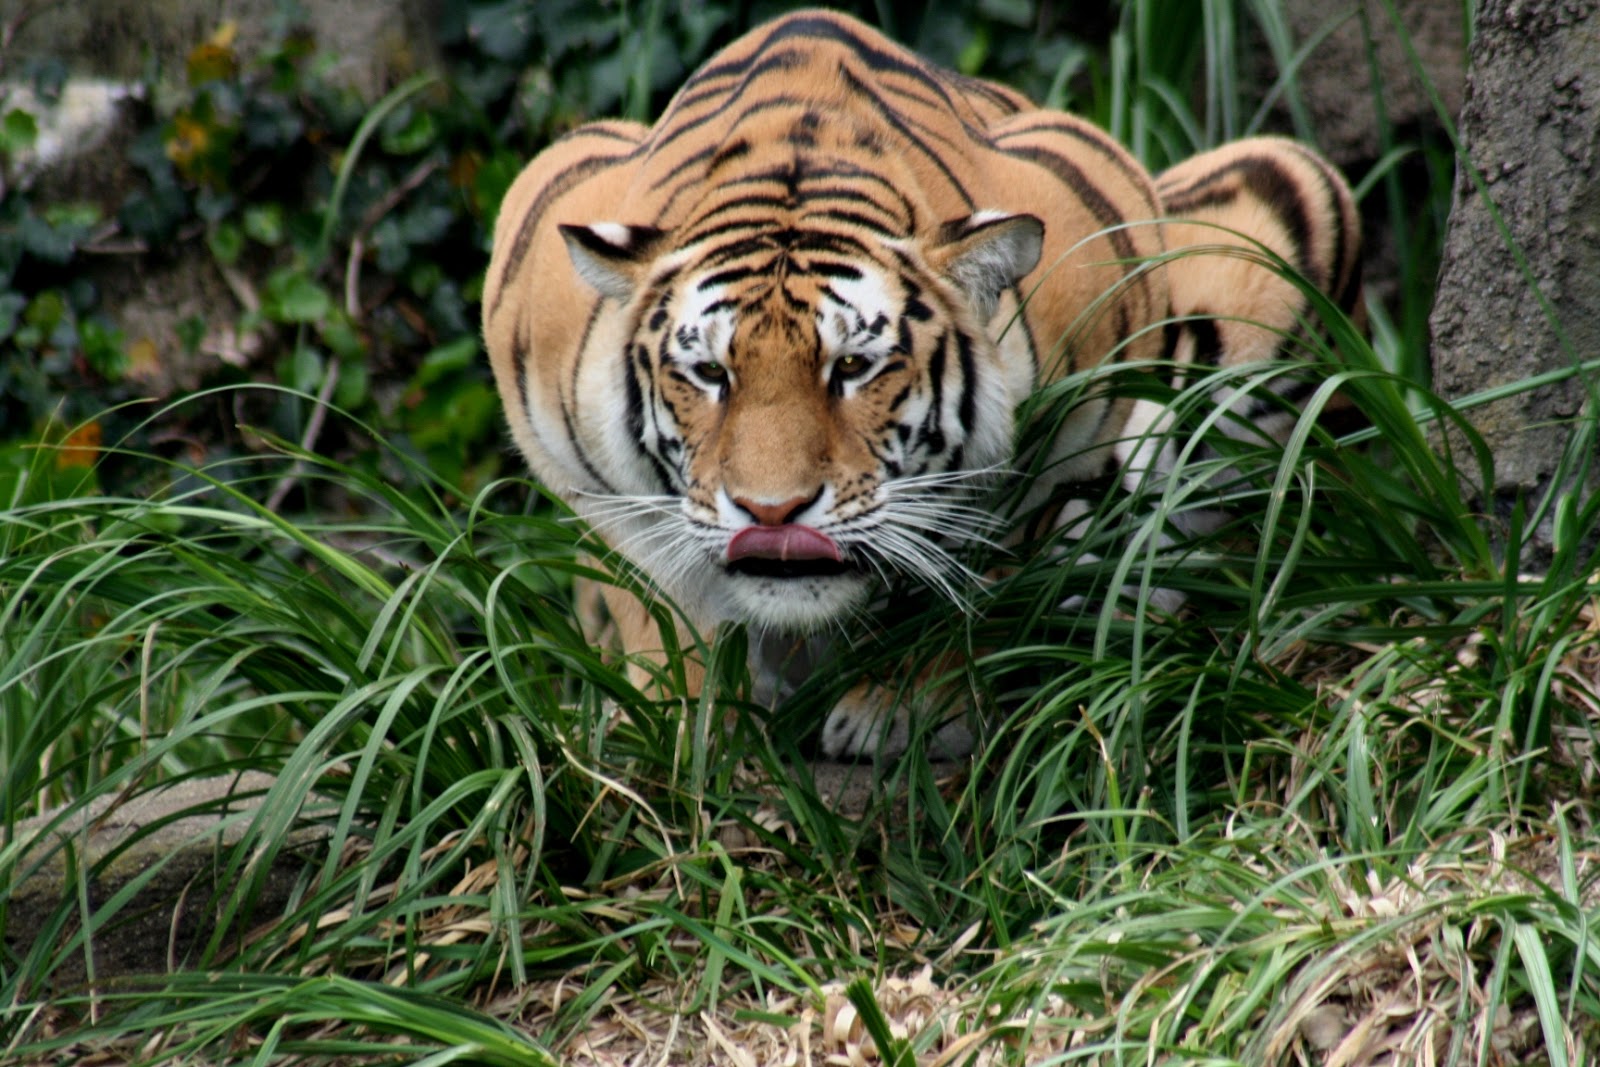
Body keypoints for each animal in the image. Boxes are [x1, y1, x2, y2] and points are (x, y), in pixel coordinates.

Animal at [481, 8, 1363, 760]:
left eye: (852, 367)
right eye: (710, 374)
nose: (772, 514)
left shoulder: (1082, 387)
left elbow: (983, 567)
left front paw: (903, 708)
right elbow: (655, 591)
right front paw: (678, 716)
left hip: (1282, 200)